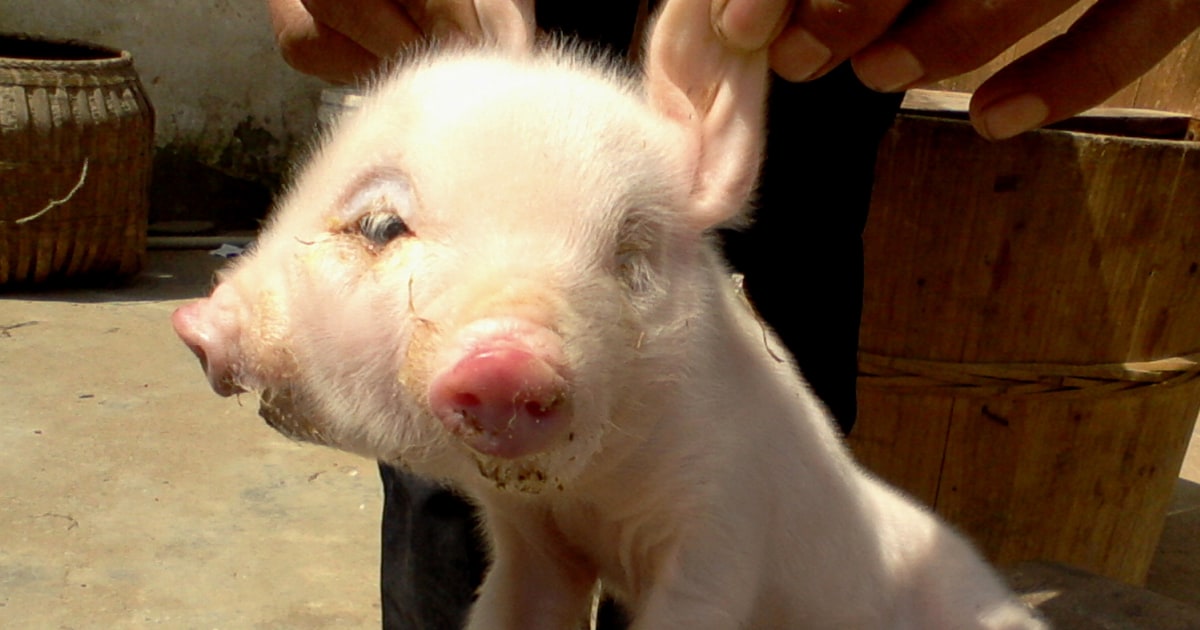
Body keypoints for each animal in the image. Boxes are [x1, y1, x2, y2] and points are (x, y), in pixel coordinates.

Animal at [172, 0, 1046, 628]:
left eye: (630, 252)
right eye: (383, 225)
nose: (506, 357)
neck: (596, 492)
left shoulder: (723, 524)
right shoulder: (531, 536)